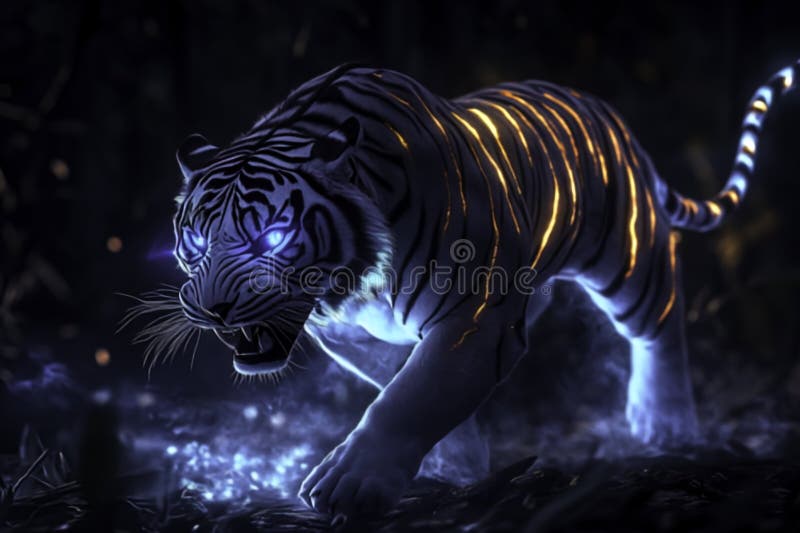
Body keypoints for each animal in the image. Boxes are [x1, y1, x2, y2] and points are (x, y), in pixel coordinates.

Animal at [141, 60, 797, 517]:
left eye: (273, 236)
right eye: (195, 240)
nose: (214, 310)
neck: (353, 285)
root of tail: (613, 120)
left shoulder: (475, 314)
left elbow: (413, 394)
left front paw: (352, 483)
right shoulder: (352, 336)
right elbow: (409, 385)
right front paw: (456, 463)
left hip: (630, 263)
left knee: (660, 328)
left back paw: (666, 424)